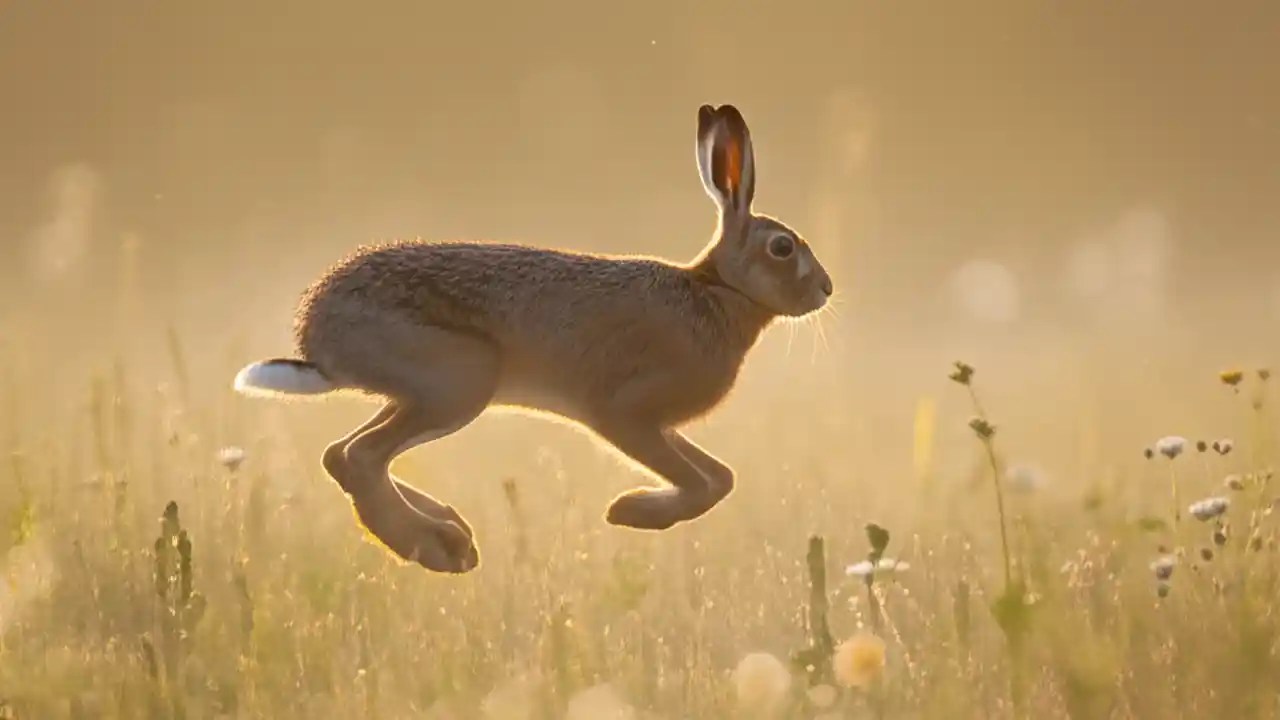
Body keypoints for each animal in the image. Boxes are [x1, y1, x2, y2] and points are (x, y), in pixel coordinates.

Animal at [233, 104, 833, 573]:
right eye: (783, 248)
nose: (826, 290)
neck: (718, 292)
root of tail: (317, 336)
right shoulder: (624, 414)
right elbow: (703, 484)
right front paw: (629, 512)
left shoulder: (658, 425)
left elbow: (721, 478)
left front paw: (634, 509)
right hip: (459, 381)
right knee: (360, 457)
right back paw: (438, 547)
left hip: (422, 391)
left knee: (343, 455)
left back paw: (450, 532)